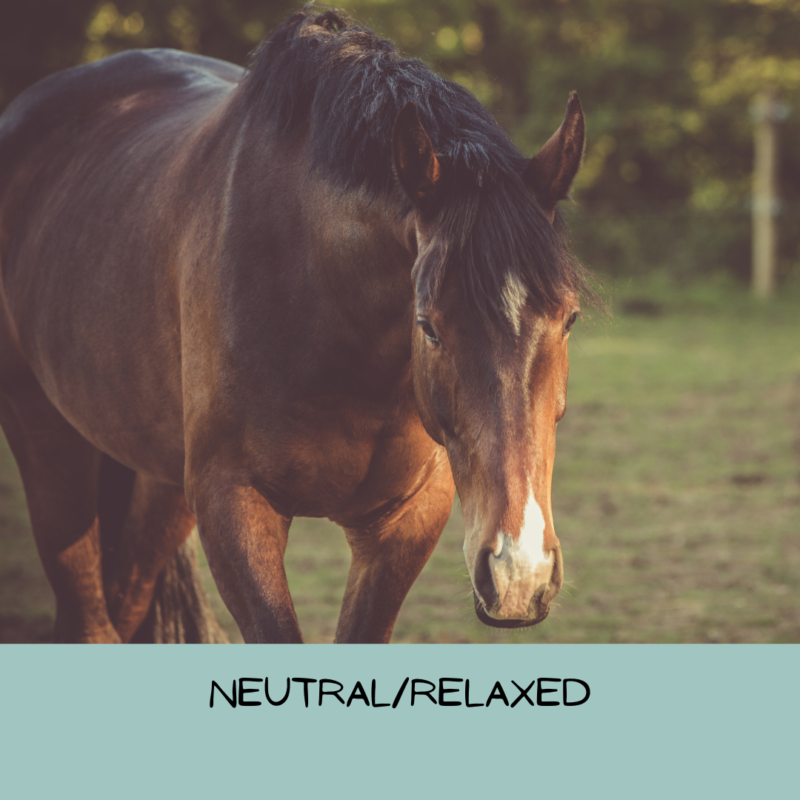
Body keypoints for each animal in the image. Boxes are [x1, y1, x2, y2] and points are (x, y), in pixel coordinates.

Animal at [0, 8, 592, 643]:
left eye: (569, 319)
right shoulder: (233, 508)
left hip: (160, 485)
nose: (518, 572)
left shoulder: (405, 521)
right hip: (48, 439)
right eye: (428, 326)